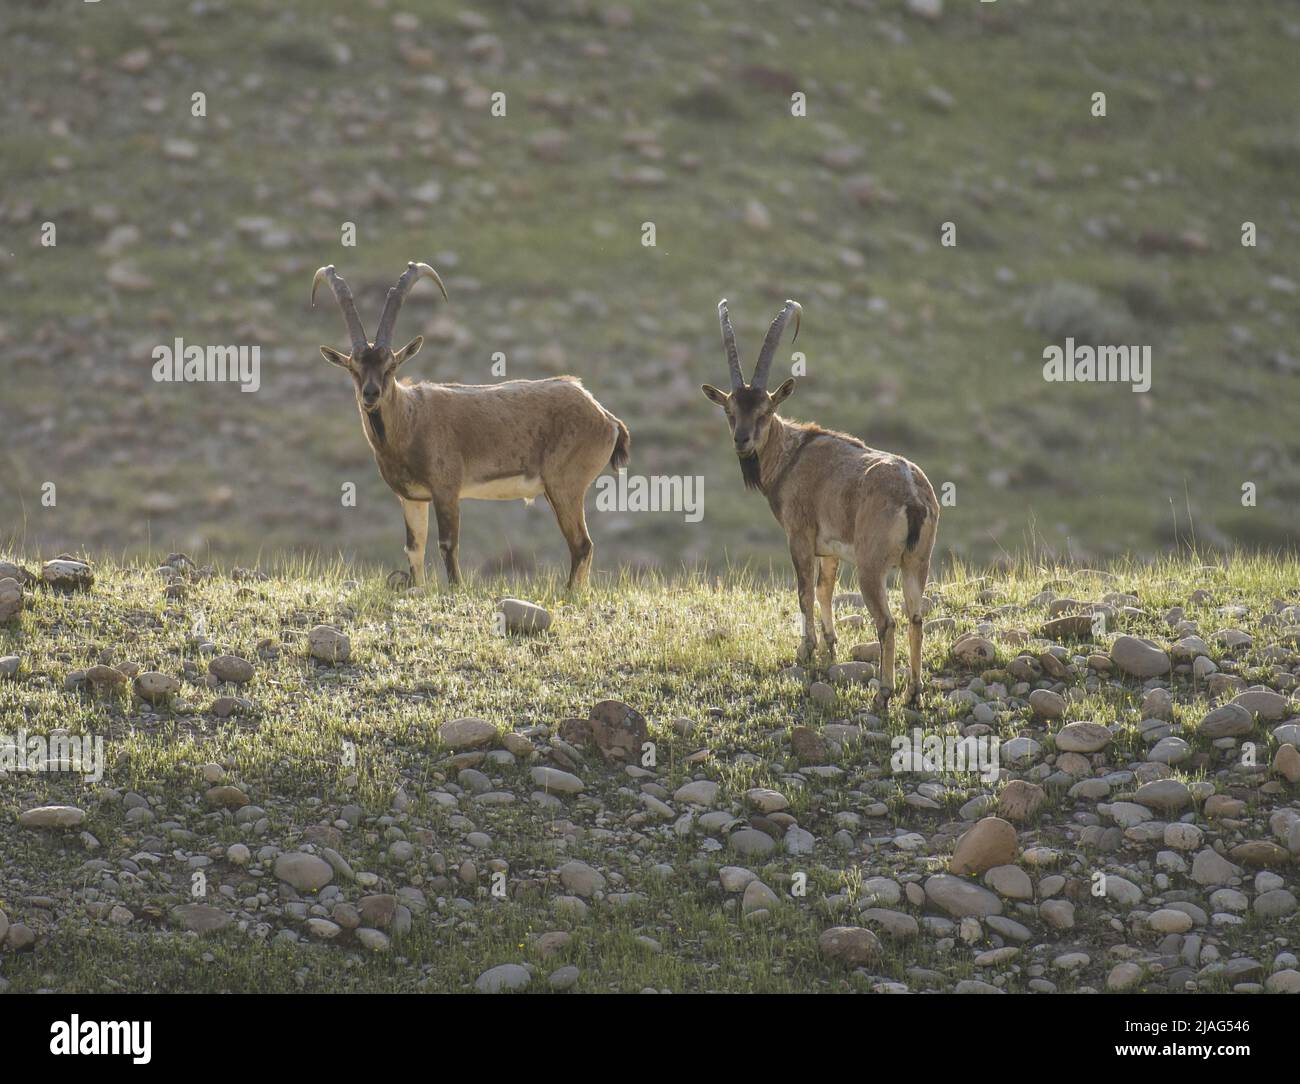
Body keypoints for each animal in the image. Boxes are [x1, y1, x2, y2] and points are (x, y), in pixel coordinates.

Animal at [313, 262, 630, 590]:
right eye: (353, 368)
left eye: (391, 367)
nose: (371, 394)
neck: (408, 422)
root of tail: (606, 417)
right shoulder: (411, 498)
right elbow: (414, 549)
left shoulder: (446, 490)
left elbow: (447, 545)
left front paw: (455, 589)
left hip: (565, 485)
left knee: (581, 544)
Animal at [701, 299, 939, 707]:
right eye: (730, 411)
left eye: (765, 411)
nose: (742, 441)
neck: (791, 456)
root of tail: (913, 499)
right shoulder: (830, 549)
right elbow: (826, 588)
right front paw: (830, 646)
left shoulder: (800, 536)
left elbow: (804, 593)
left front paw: (806, 650)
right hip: (916, 562)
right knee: (915, 618)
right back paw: (913, 692)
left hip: (871, 564)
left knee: (887, 621)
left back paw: (884, 693)